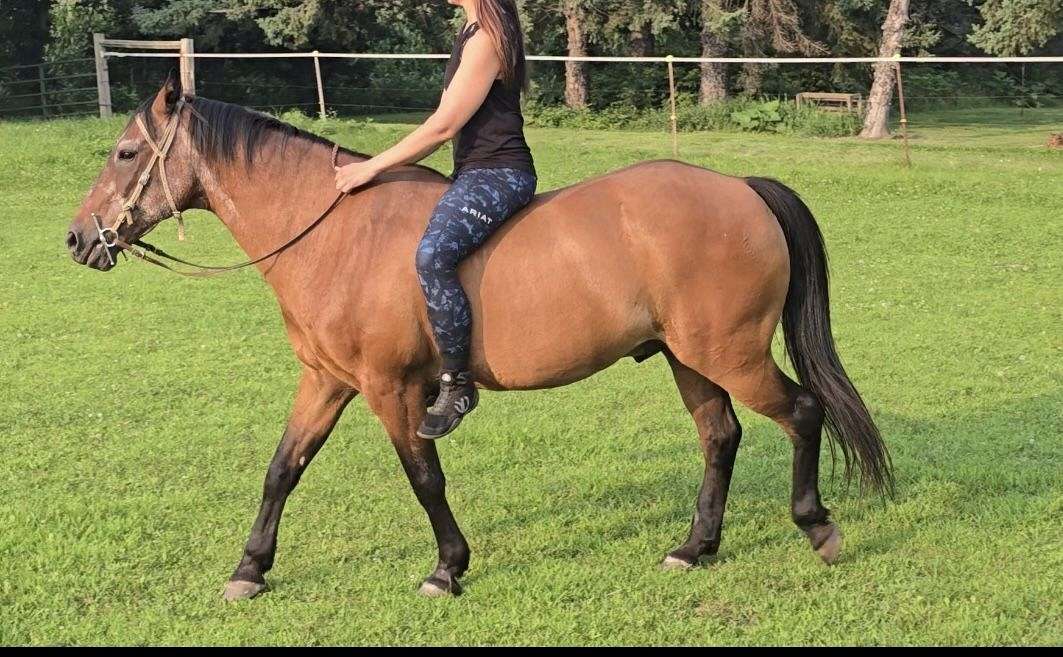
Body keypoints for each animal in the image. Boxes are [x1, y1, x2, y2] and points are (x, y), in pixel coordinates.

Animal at [66, 75, 891, 600]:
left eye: (127, 153)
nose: (78, 238)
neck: (335, 233)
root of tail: (740, 187)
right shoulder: (326, 380)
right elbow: (281, 470)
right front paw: (249, 569)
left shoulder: (391, 388)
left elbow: (424, 477)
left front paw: (447, 568)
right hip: (688, 358)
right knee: (719, 437)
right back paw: (693, 548)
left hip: (731, 352)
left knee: (802, 412)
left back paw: (816, 525)